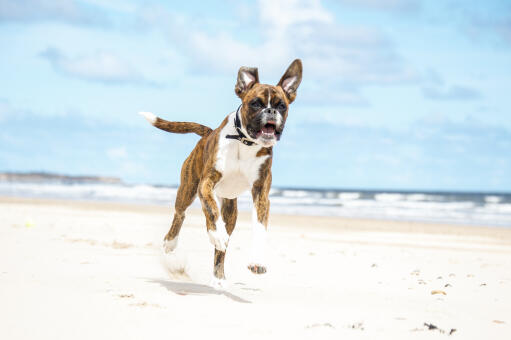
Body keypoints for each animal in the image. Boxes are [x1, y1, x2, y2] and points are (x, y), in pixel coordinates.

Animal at [140, 59, 302, 284]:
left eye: (282, 106)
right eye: (256, 103)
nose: (271, 112)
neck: (245, 142)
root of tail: (208, 133)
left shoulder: (261, 194)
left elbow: (260, 228)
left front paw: (257, 260)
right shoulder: (206, 183)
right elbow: (210, 210)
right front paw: (216, 234)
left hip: (230, 210)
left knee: (221, 246)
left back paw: (218, 277)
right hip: (188, 189)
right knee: (180, 214)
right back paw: (172, 243)